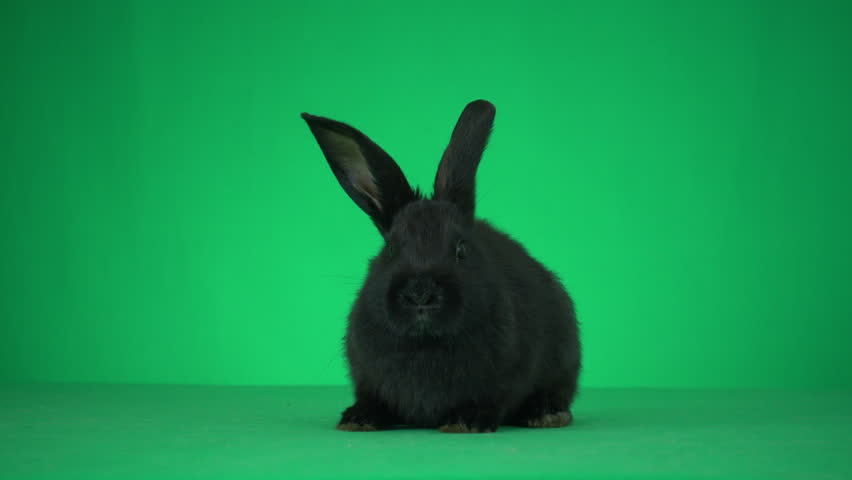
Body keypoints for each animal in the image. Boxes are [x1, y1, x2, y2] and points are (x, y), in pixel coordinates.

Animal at [301, 100, 580, 433]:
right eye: (391, 249)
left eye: (461, 249)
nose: (420, 293)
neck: (426, 343)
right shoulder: (366, 375)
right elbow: (373, 398)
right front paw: (358, 418)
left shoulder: (508, 375)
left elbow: (492, 399)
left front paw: (465, 421)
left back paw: (546, 413)